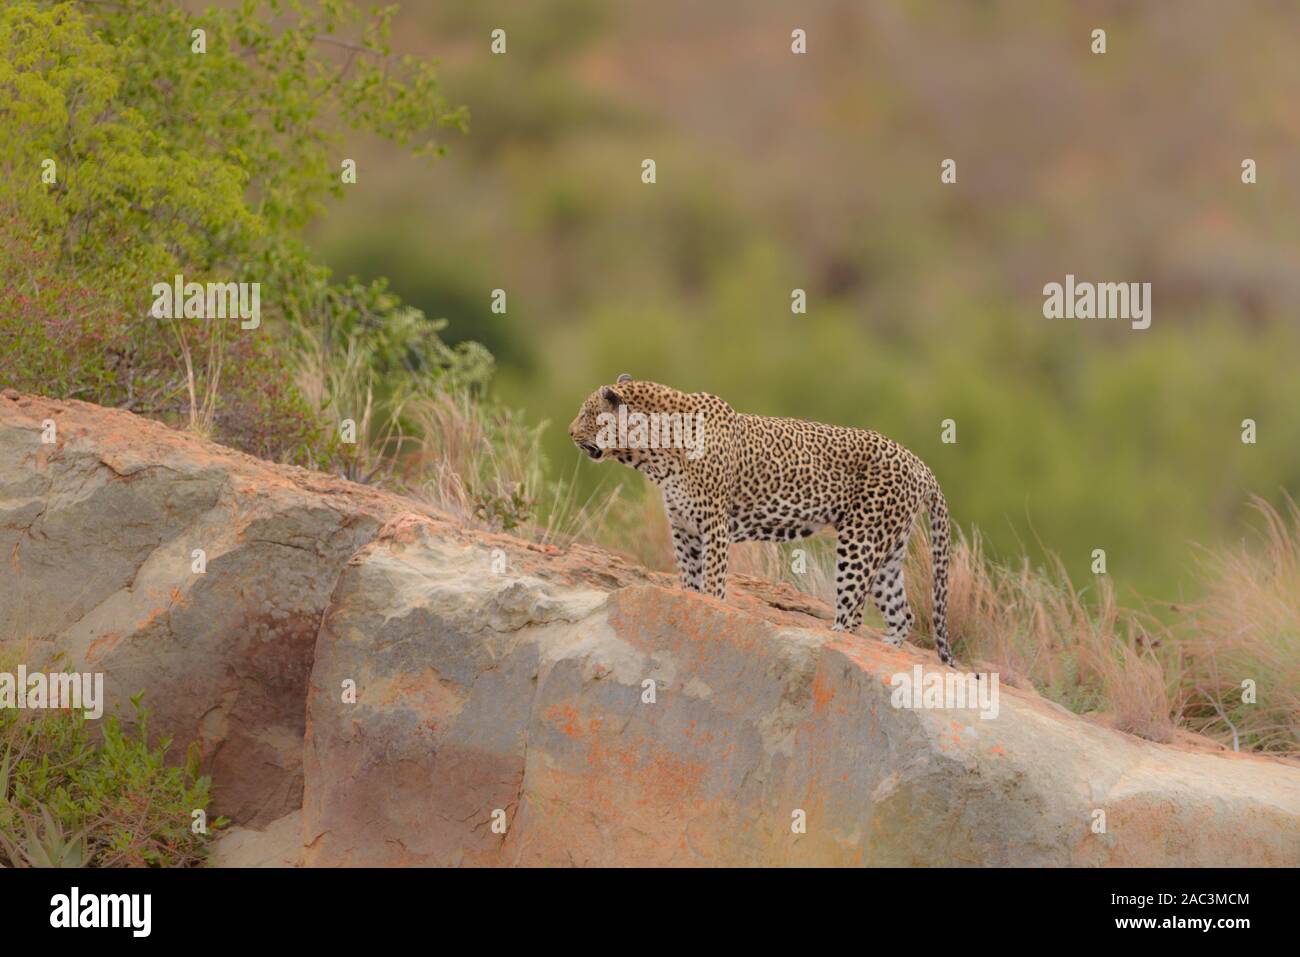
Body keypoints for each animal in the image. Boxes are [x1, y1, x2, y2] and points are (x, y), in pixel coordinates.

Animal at [568, 374, 956, 667]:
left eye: (587, 412)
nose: (570, 433)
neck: (654, 454)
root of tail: (921, 464)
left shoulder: (713, 524)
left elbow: (713, 584)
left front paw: (711, 618)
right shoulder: (683, 528)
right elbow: (690, 582)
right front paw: (686, 614)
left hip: (860, 540)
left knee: (853, 615)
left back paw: (830, 646)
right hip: (888, 548)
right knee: (902, 614)